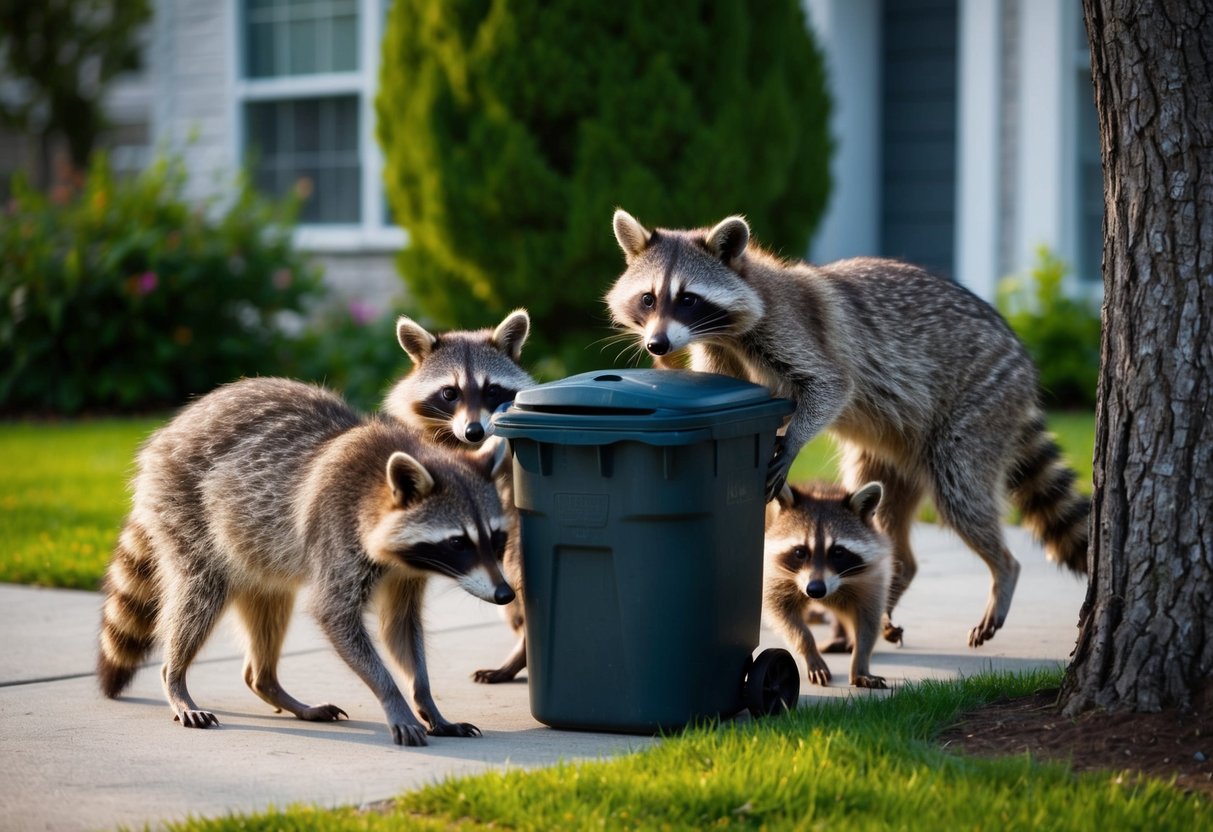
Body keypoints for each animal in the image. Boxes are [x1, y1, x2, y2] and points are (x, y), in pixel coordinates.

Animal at [97, 377, 513, 746]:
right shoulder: (339, 534)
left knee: (269, 609)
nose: (505, 594)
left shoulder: (407, 573)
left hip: (257, 550)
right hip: (186, 511)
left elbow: (400, 627)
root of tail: (170, 431)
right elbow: (334, 612)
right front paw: (393, 698)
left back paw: (269, 684)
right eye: (458, 542)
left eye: (497, 539)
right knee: (199, 597)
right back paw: (175, 677)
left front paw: (427, 701)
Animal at [608, 209, 1089, 649]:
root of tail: (1021, 360)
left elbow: (831, 385)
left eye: (688, 298)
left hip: (978, 409)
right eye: (648, 299)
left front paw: (794, 441)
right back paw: (891, 585)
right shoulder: (719, 350)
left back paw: (1002, 569)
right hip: (888, 449)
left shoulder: (789, 327)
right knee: (883, 510)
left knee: (961, 495)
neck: (730, 323)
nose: (657, 345)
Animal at [764, 483, 892, 689]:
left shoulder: (870, 578)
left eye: (838, 552)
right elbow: (783, 614)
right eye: (800, 552)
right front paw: (809, 650)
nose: (815, 590)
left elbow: (868, 620)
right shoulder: (774, 573)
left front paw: (861, 661)